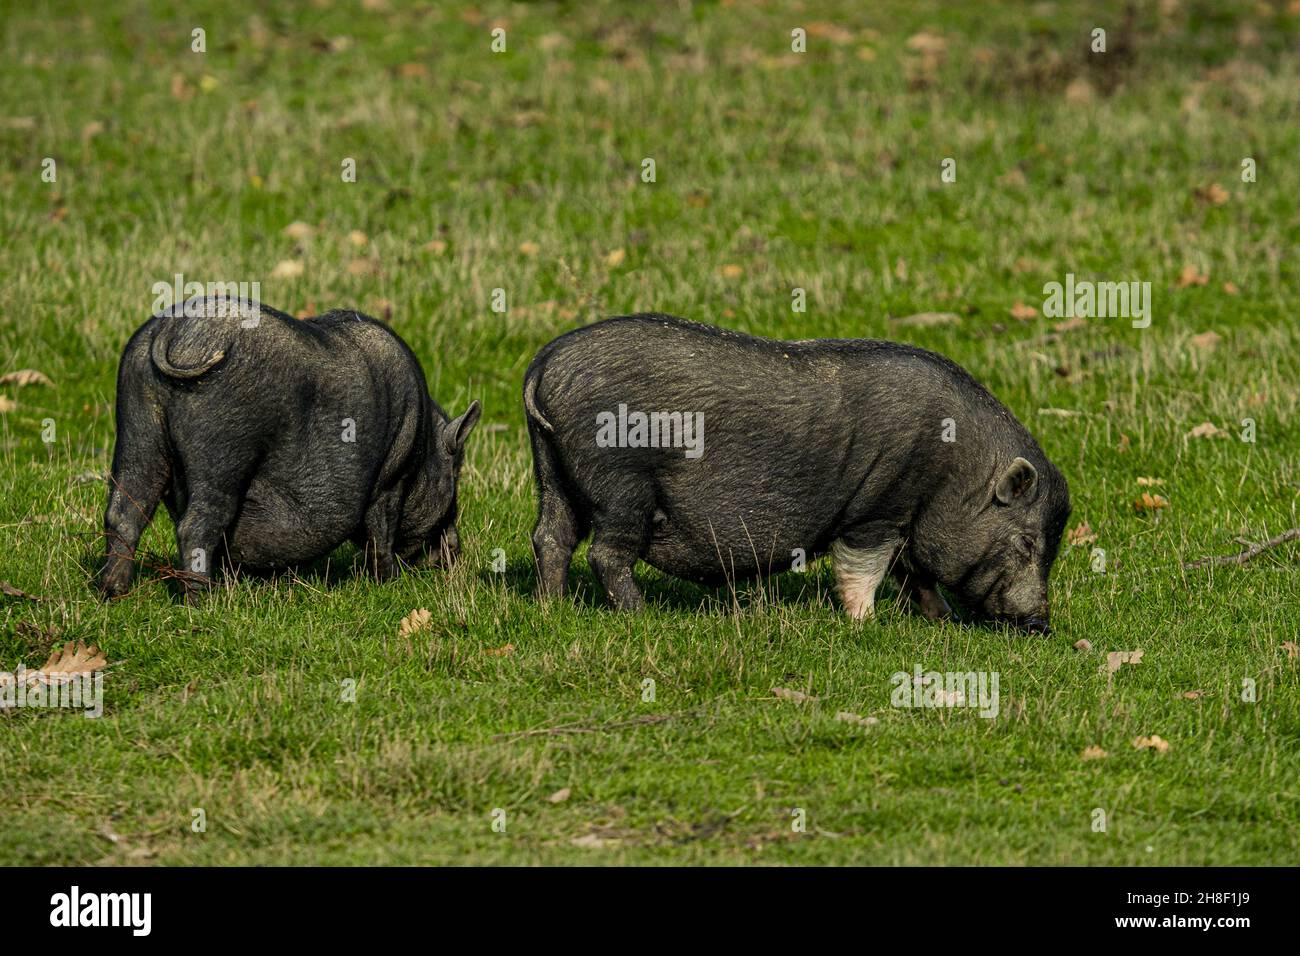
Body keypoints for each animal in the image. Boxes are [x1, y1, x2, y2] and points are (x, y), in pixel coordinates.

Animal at [99, 295, 480, 600]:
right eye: (455, 475)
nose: (454, 554)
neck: (424, 442)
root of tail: (176, 329)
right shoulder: (391, 477)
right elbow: (381, 532)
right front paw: (389, 582)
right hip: (223, 446)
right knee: (195, 525)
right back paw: (204, 601)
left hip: (137, 426)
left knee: (124, 512)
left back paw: (113, 592)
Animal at [523, 314, 1070, 634]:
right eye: (1027, 542)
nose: (1041, 623)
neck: (956, 473)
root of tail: (544, 365)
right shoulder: (878, 510)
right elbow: (865, 566)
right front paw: (865, 624)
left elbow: (916, 574)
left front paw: (942, 621)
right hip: (619, 484)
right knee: (606, 553)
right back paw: (639, 616)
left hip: (553, 472)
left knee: (550, 536)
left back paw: (553, 607)